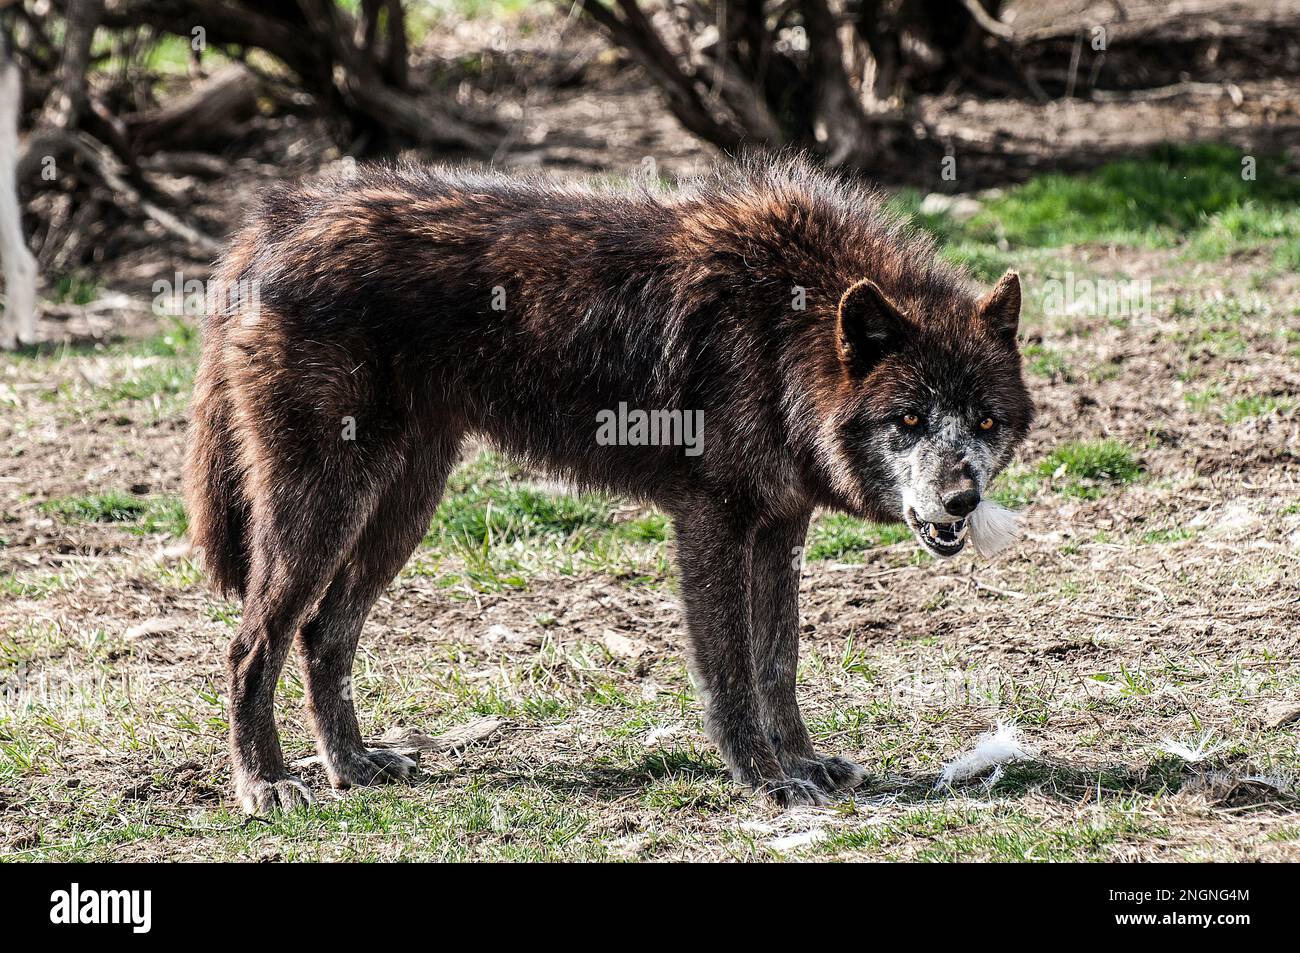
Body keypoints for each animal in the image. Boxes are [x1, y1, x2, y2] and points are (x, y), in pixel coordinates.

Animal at [184, 156, 1034, 813]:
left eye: (985, 422)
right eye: (910, 418)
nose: (962, 501)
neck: (786, 327)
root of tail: (282, 215)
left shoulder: (781, 527)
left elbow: (778, 663)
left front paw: (802, 760)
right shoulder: (710, 522)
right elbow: (731, 671)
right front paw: (764, 777)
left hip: (403, 508)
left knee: (324, 633)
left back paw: (353, 766)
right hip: (324, 506)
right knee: (252, 644)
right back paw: (265, 783)